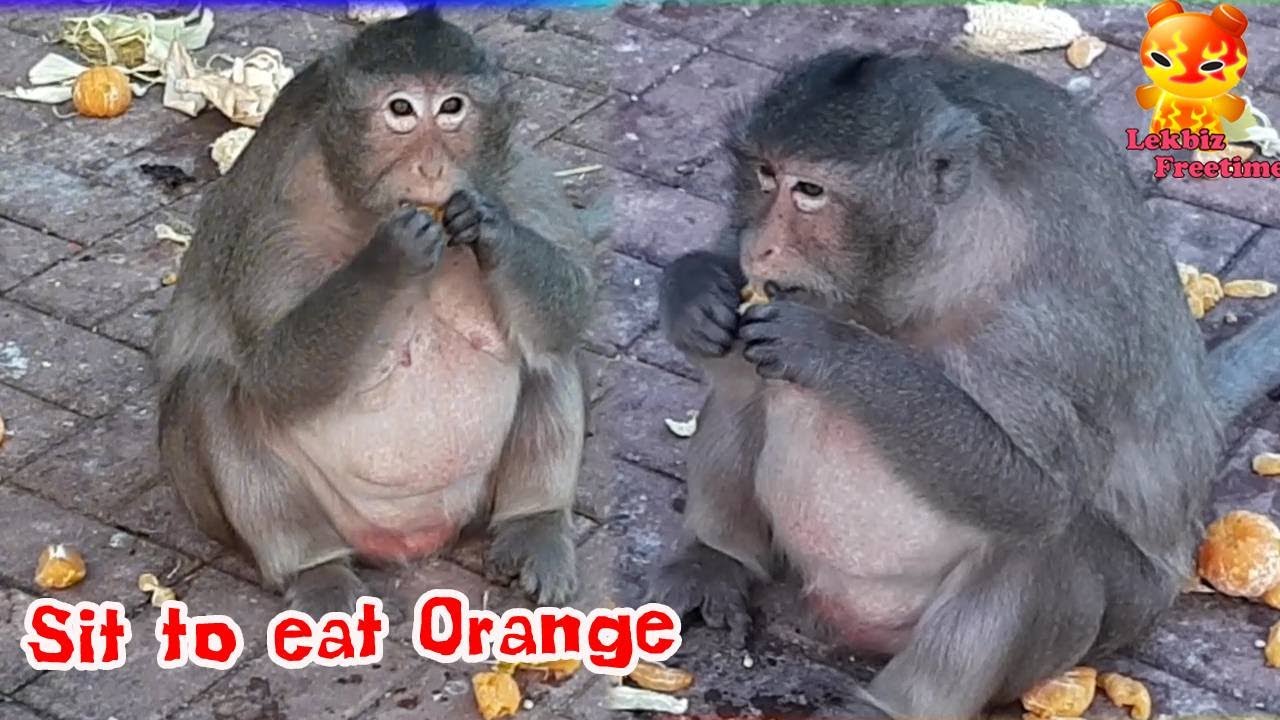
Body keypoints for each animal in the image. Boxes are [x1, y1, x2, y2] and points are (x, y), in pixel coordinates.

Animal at [151, 9, 599, 616]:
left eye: (452, 107)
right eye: (401, 110)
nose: (431, 167)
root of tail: (416, 541)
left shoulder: (516, 173)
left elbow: (576, 299)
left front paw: (491, 227)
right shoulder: (283, 212)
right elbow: (272, 375)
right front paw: (390, 256)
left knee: (544, 344)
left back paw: (534, 523)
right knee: (214, 389)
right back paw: (316, 571)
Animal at [651, 48, 1280, 719]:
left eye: (811, 192)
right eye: (766, 176)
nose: (763, 247)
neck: (930, 268)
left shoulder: (1037, 330)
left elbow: (1036, 495)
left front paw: (834, 352)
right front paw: (697, 291)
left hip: (1113, 616)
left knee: (1049, 546)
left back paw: (895, 707)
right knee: (744, 385)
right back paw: (715, 559)